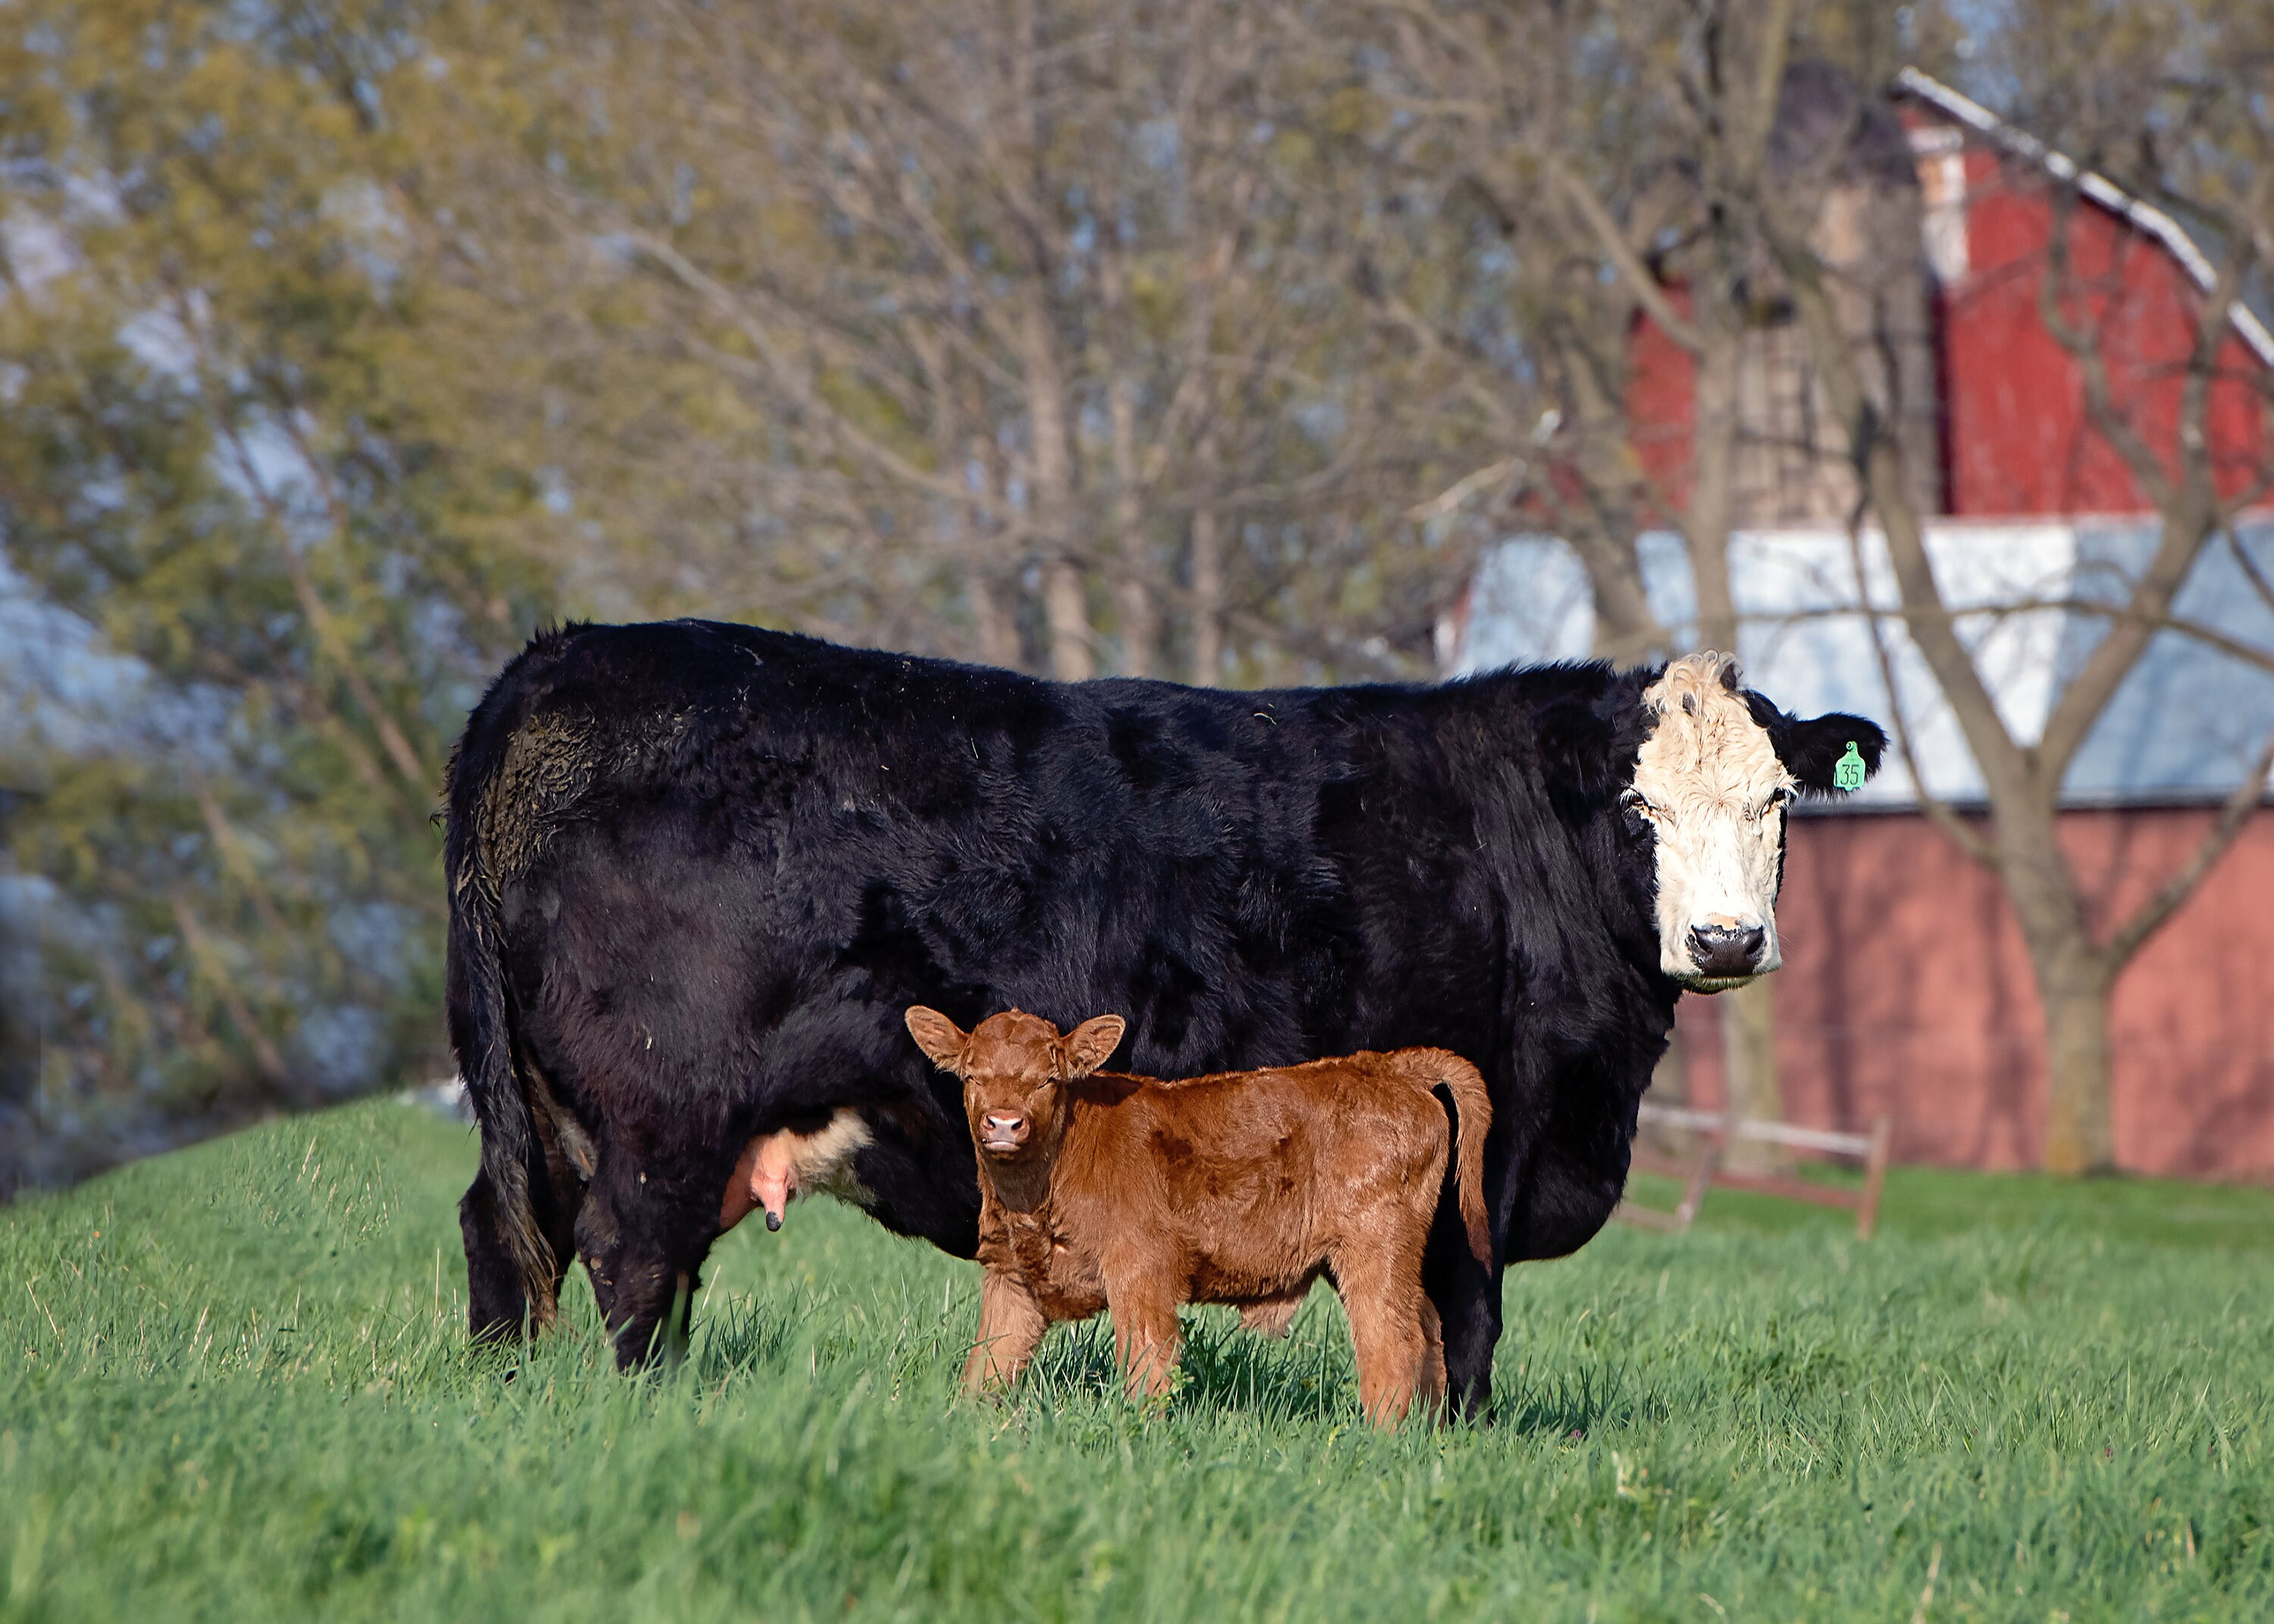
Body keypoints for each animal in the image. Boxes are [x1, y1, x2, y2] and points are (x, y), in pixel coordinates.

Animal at [904, 1005, 1492, 1426]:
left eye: (1049, 1079)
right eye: (972, 1076)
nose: (1005, 1124)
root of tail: (1384, 1063)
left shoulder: (1141, 1269)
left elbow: (1146, 1362)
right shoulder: (1010, 1276)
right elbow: (986, 1365)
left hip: (1374, 1246)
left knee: (1392, 1341)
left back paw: (1378, 1440)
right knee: (1429, 1329)